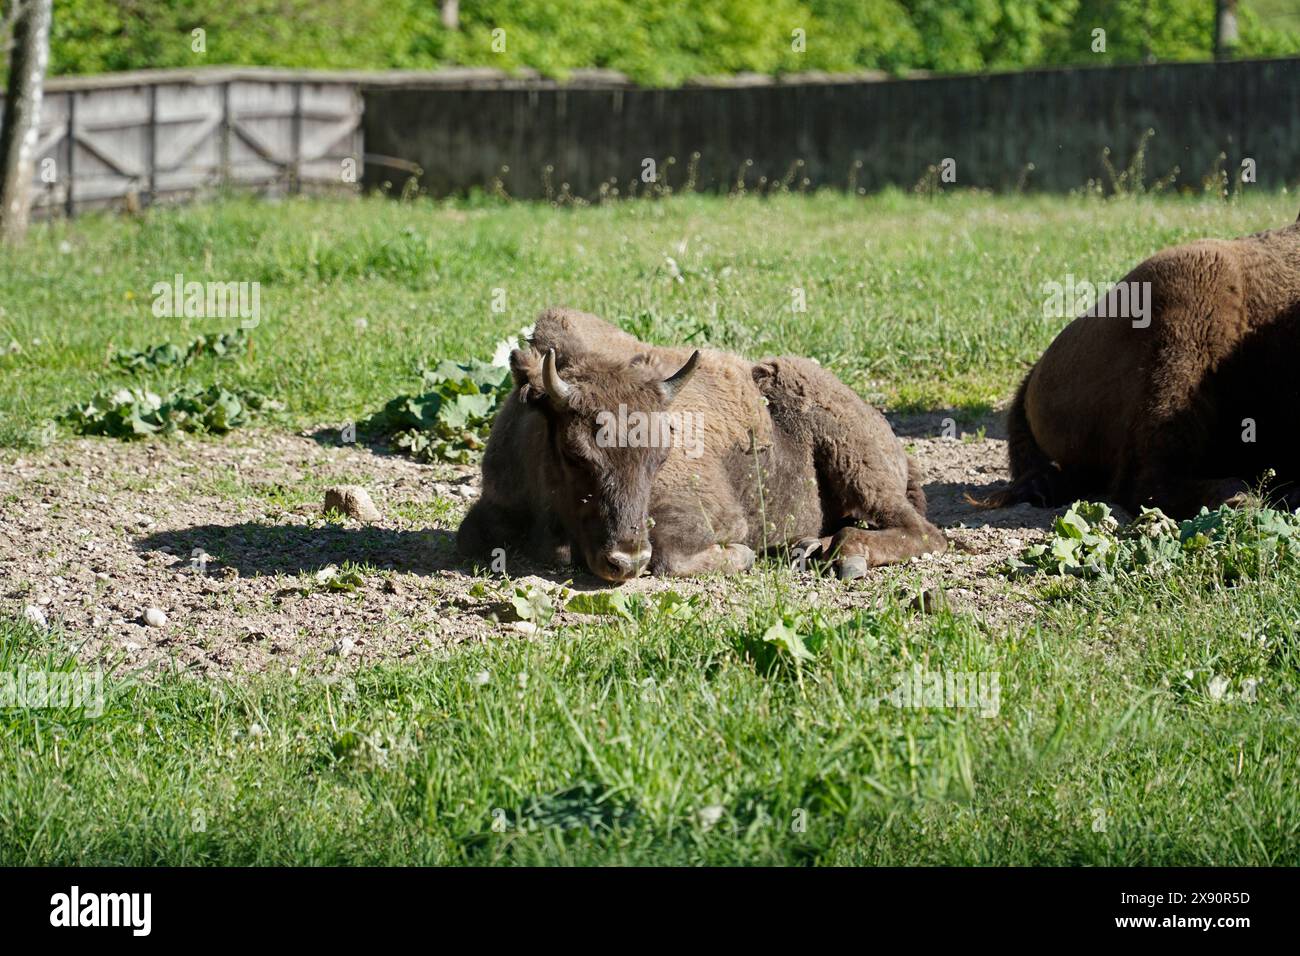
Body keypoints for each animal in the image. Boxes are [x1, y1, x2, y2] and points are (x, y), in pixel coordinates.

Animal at [457, 308, 946, 582]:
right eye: (575, 454)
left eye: (662, 456)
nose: (626, 560)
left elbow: (675, 558)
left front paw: (745, 554)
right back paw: (808, 548)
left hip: (858, 465)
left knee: (924, 531)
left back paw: (840, 556)